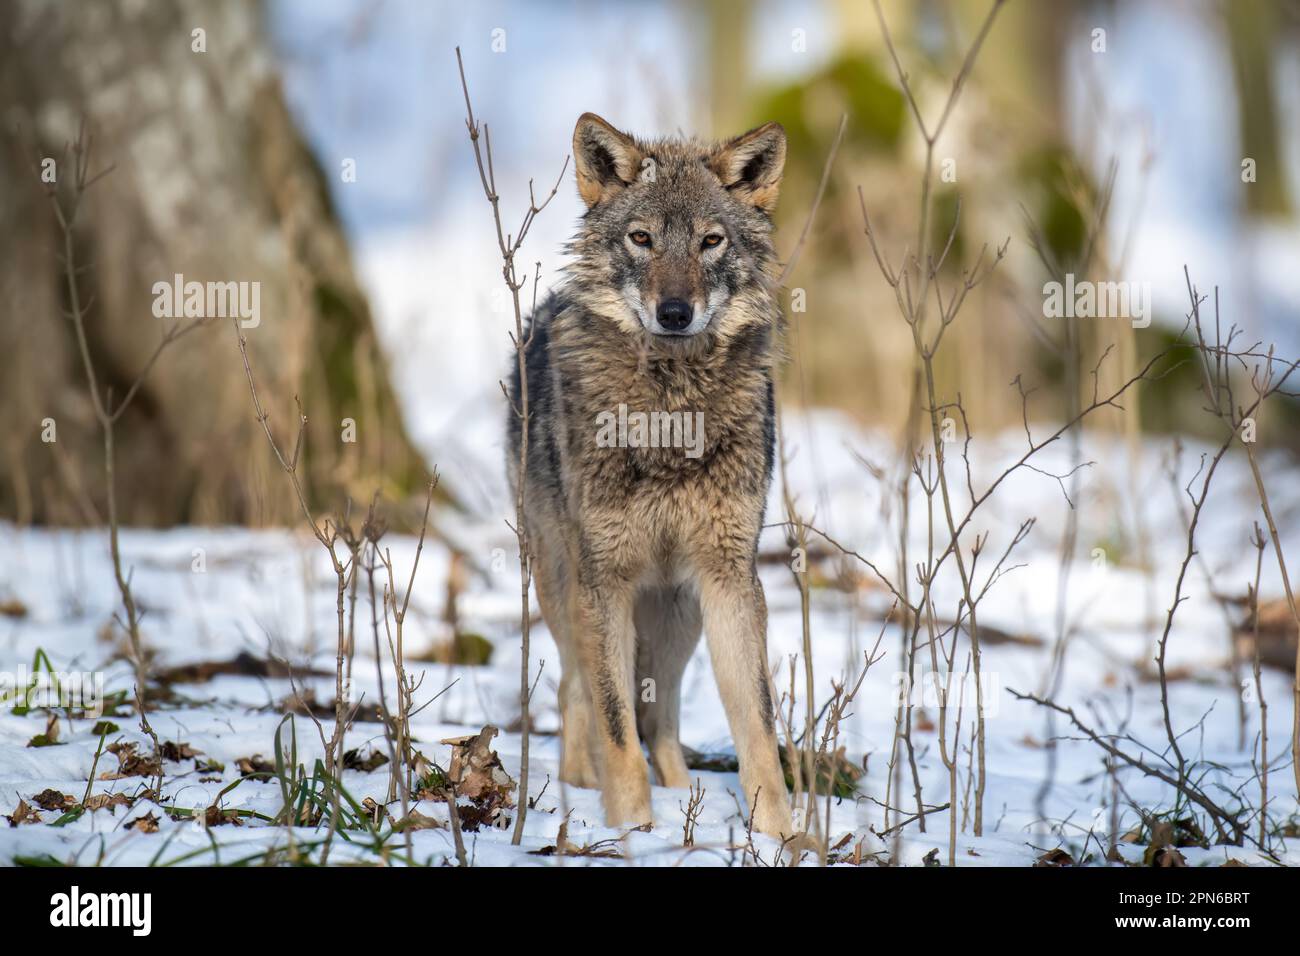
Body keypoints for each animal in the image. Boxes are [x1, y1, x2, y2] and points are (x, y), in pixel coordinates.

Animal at [507, 112, 794, 840]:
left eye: (710, 241)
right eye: (642, 239)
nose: (673, 312)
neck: (670, 410)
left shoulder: (730, 578)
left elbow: (757, 725)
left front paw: (784, 836)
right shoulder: (604, 577)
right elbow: (614, 723)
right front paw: (633, 828)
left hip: (677, 613)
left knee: (661, 719)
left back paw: (682, 789)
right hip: (566, 587)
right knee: (576, 689)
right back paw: (581, 785)